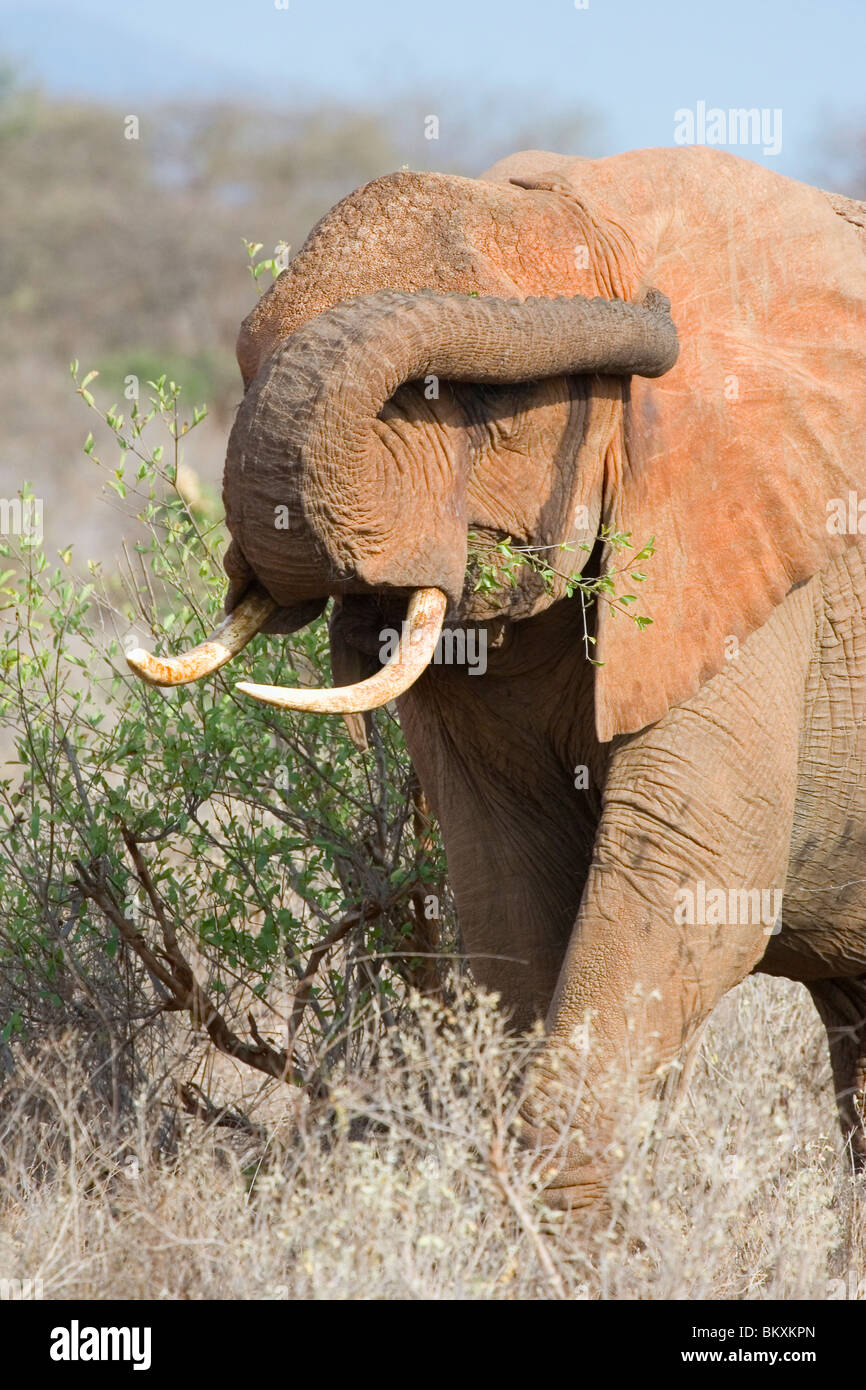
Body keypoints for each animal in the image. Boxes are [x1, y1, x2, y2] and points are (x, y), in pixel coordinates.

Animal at [127, 145, 866, 1209]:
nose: (652, 314)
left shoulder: (757, 568)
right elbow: (508, 883)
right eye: (244, 365)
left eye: (473, 399)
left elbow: (686, 884)